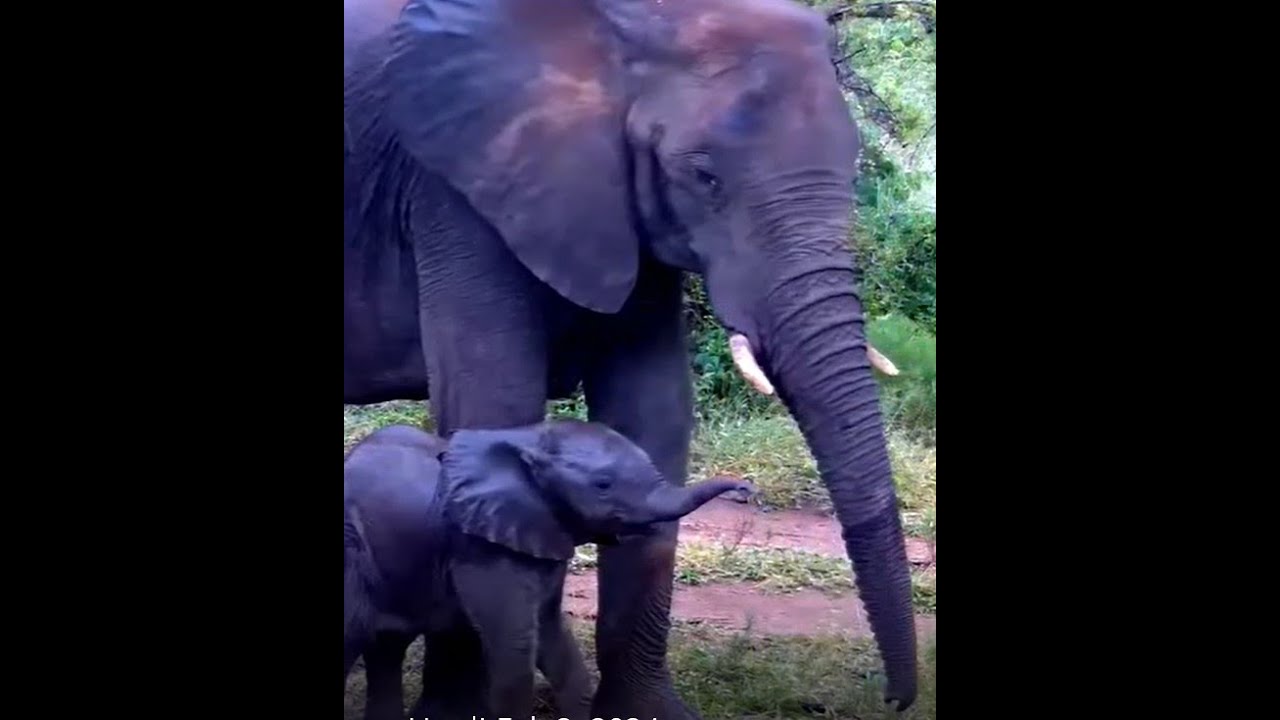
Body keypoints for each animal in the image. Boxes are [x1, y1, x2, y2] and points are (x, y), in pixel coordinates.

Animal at [343, 421, 753, 720]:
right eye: (603, 485)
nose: (746, 490)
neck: (528, 440)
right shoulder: (481, 547)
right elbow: (515, 648)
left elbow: (552, 632)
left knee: (385, 649)